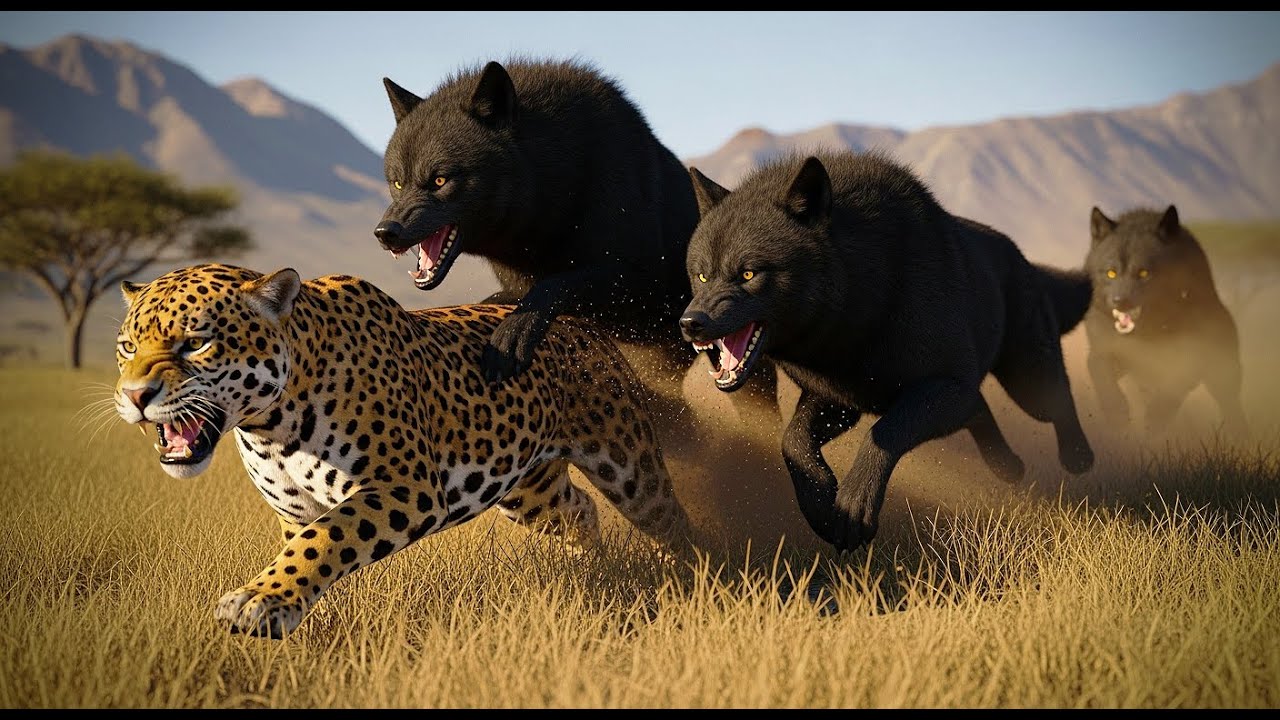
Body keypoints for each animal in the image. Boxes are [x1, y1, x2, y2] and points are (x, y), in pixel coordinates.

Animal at [114, 263, 693, 638]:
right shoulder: (293, 511)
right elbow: (301, 553)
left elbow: (325, 539)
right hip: (528, 491)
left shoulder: (406, 487)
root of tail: (579, 325)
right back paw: (592, 571)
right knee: (579, 510)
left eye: (197, 343)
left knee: (669, 518)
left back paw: (695, 576)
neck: (270, 427)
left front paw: (259, 602)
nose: (135, 396)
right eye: (126, 346)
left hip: (629, 468)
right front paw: (286, 612)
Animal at [372, 59, 781, 430]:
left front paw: (513, 336)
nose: (385, 232)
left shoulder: (637, 285)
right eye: (397, 182)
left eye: (440, 180)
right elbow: (505, 297)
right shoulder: (517, 284)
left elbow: (554, 284)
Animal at [679, 151, 1095, 551]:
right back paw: (1008, 467)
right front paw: (820, 507)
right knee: (982, 409)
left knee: (1058, 399)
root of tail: (1020, 255)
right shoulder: (838, 400)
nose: (689, 323)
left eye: (748, 274)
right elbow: (792, 441)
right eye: (702, 275)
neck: (866, 299)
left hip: (1028, 383)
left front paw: (853, 505)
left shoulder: (943, 385)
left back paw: (1078, 459)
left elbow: (885, 431)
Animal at [1084, 205, 1248, 437]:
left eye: (1144, 273)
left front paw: (1154, 423)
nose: (1120, 301)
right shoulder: (1104, 352)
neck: (1147, 333)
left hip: (1223, 375)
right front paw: (1118, 417)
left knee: (1232, 408)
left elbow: (1171, 391)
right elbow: (1102, 377)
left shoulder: (1191, 357)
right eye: (1111, 273)